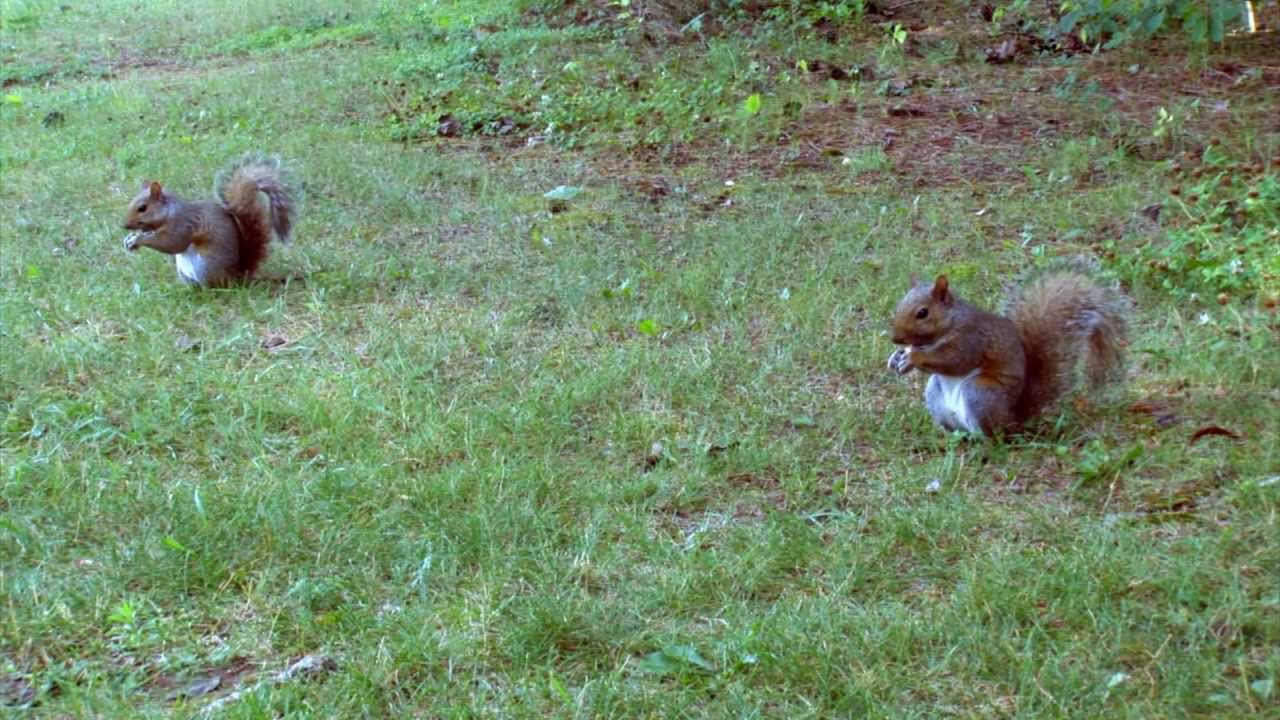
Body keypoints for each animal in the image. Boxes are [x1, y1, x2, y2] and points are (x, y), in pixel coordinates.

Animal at [122, 155, 296, 287]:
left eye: (142, 208)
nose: (124, 225)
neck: (169, 212)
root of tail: (236, 278)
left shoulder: (183, 223)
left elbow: (172, 243)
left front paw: (139, 239)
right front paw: (130, 239)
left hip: (205, 267)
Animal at [886, 270, 1129, 437]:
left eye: (922, 313)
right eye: (899, 305)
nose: (896, 339)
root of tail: (1015, 419)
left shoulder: (971, 339)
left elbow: (955, 360)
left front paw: (913, 358)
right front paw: (896, 357)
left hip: (980, 393)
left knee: (995, 437)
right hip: (936, 395)